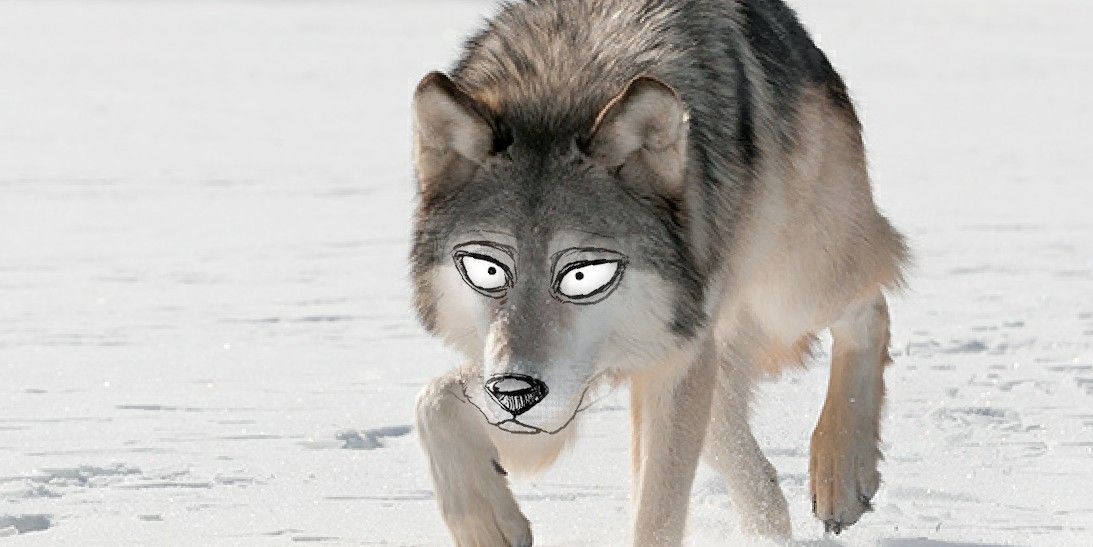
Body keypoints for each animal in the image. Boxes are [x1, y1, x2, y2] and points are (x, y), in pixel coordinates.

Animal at [409, 0, 908, 544]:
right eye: (487, 270)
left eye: (582, 275)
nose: (514, 392)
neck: (563, 86)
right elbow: (432, 400)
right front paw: (488, 524)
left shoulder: (672, 358)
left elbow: (659, 512)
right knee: (738, 450)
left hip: (789, 290)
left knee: (871, 306)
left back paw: (842, 474)